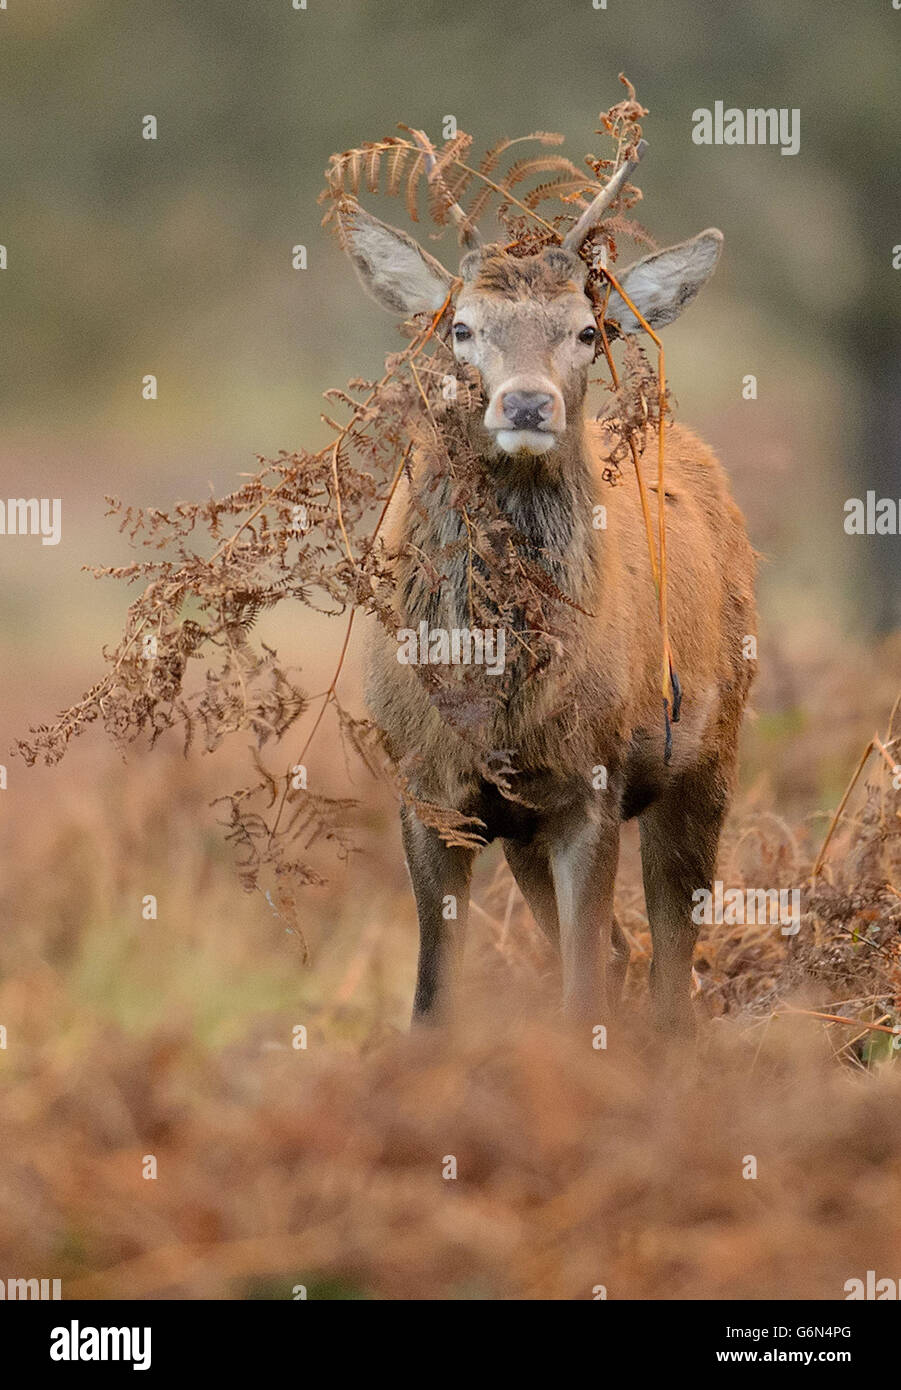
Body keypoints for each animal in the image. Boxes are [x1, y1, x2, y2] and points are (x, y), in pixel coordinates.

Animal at [335, 148, 757, 1036]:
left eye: (586, 331)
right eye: (461, 327)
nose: (527, 402)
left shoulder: (590, 779)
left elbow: (579, 993)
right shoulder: (426, 789)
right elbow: (430, 1001)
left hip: (711, 747)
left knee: (669, 962)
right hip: (525, 830)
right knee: (628, 953)